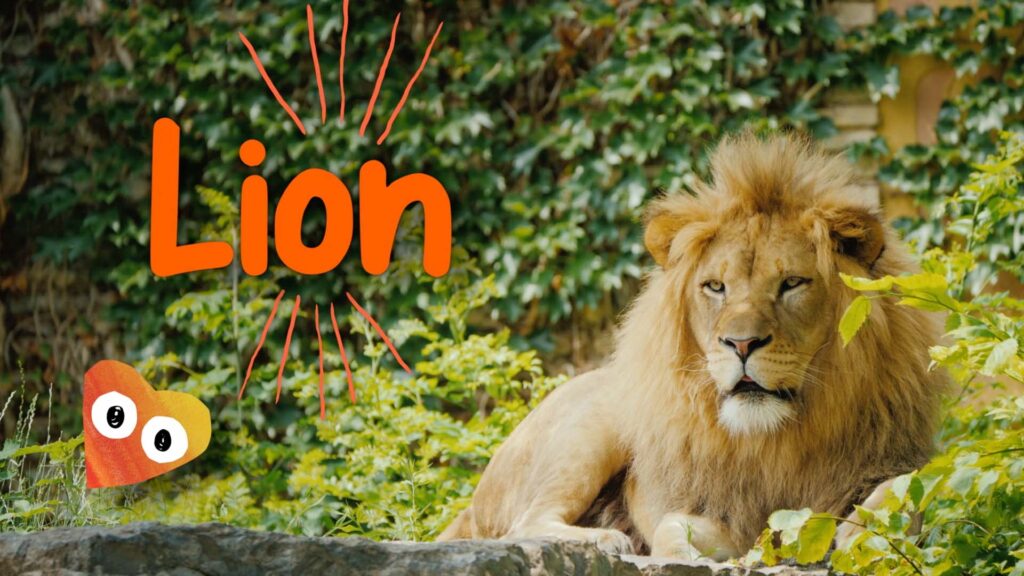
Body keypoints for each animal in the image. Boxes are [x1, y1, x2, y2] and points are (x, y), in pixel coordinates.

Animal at [438, 132, 947, 560]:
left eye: (792, 283)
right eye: (715, 287)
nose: (741, 343)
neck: (778, 440)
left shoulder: (898, 455)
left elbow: (907, 488)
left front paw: (860, 535)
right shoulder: (714, 508)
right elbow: (672, 530)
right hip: (593, 426)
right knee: (523, 524)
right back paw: (606, 538)